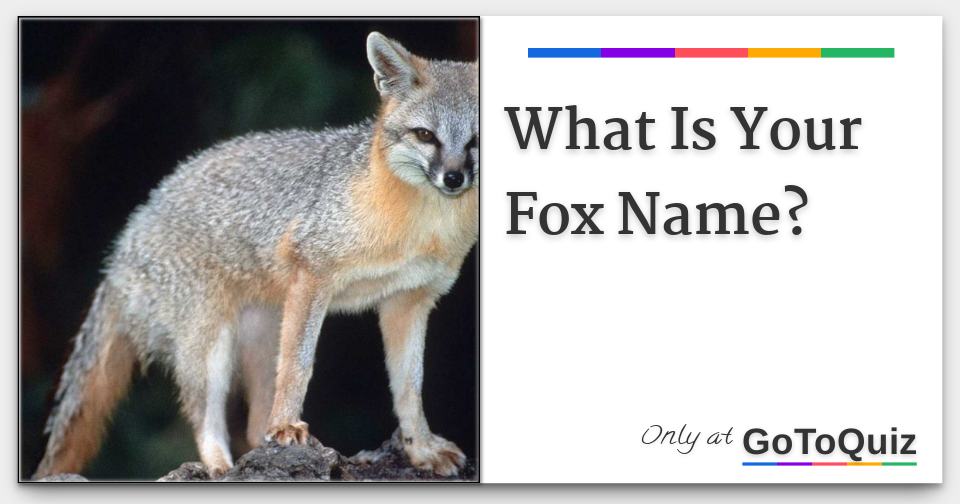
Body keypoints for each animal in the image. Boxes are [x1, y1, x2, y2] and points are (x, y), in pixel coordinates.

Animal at [33, 32, 478, 479]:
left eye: (475, 140)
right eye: (425, 135)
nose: (453, 178)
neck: (422, 227)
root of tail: (125, 241)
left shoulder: (409, 300)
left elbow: (410, 387)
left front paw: (420, 448)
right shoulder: (312, 273)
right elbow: (299, 366)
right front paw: (287, 426)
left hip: (264, 336)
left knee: (252, 424)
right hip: (210, 344)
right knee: (206, 417)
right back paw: (220, 465)